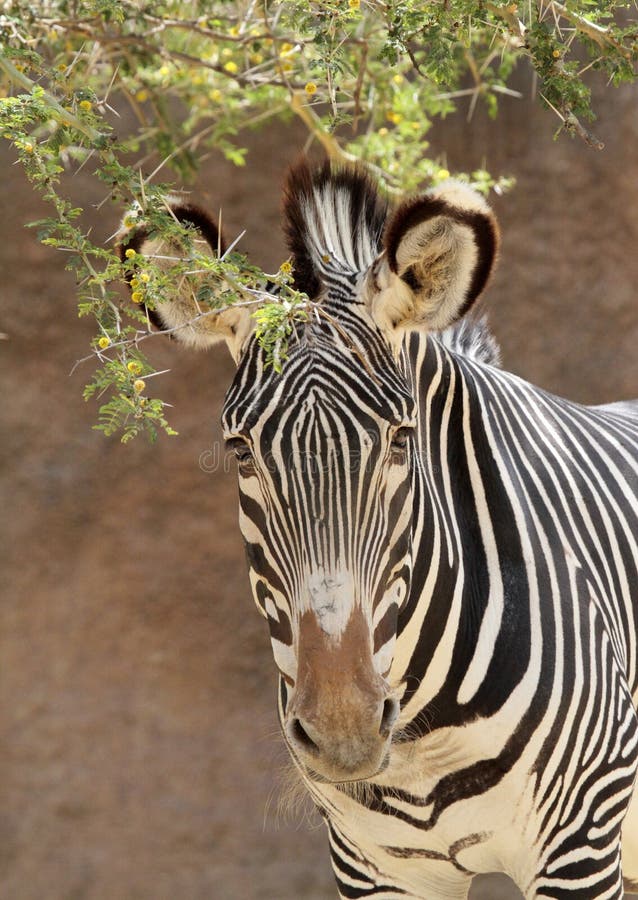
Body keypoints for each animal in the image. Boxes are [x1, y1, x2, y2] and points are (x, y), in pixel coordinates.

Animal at [121, 160, 638, 898]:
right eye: (240, 451)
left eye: (401, 441)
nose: (343, 729)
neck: (423, 740)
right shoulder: (373, 866)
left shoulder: (580, 844)